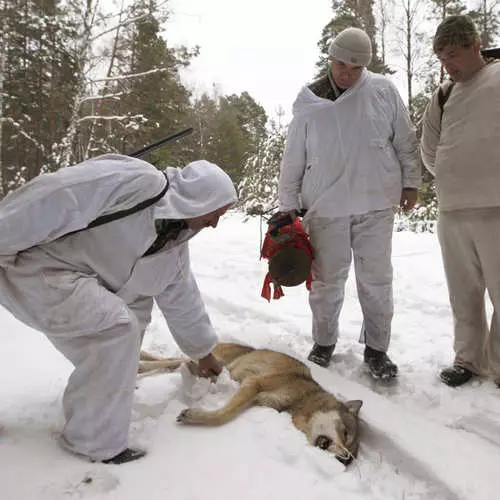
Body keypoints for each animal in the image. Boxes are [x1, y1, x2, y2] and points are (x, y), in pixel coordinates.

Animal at [139, 344, 362, 464]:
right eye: (345, 434)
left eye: (352, 455)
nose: (346, 459)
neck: (302, 399)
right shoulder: (254, 384)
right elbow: (223, 416)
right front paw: (194, 416)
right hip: (214, 362)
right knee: (171, 360)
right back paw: (142, 364)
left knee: (174, 361)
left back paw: (143, 364)